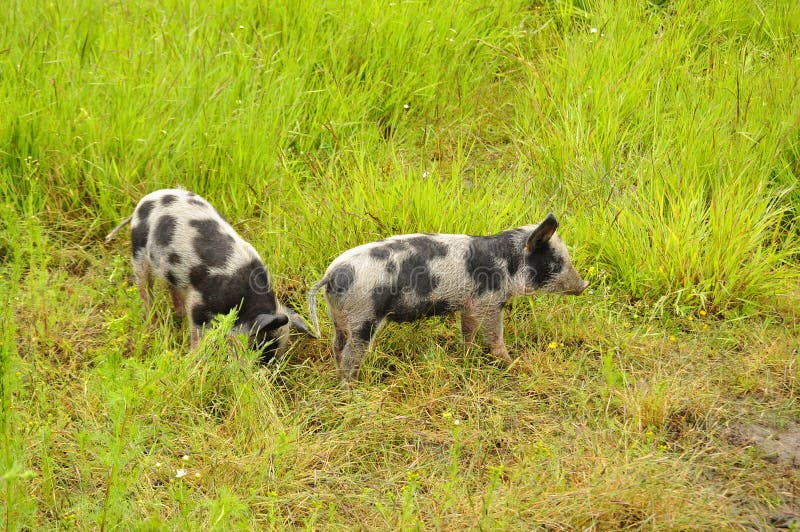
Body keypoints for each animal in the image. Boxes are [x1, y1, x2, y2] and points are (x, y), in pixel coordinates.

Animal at [105, 188, 314, 360]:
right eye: (262, 346)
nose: (269, 371)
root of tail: (145, 200)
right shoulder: (198, 301)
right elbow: (199, 332)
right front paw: (192, 359)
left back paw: (178, 316)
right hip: (138, 251)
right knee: (144, 288)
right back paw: (152, 324)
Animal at [307, 213, 588, 381]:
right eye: (556, 263)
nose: (584, 285)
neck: (507, 264)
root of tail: (330, 274)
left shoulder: (468, 304)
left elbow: (468, 332)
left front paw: (466, 357)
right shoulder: (488, 302)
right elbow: (494, 336)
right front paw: (512, 364)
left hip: (338, 316)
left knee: (336, 346)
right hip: (362, 316)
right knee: (350, 354)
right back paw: (351, 388)